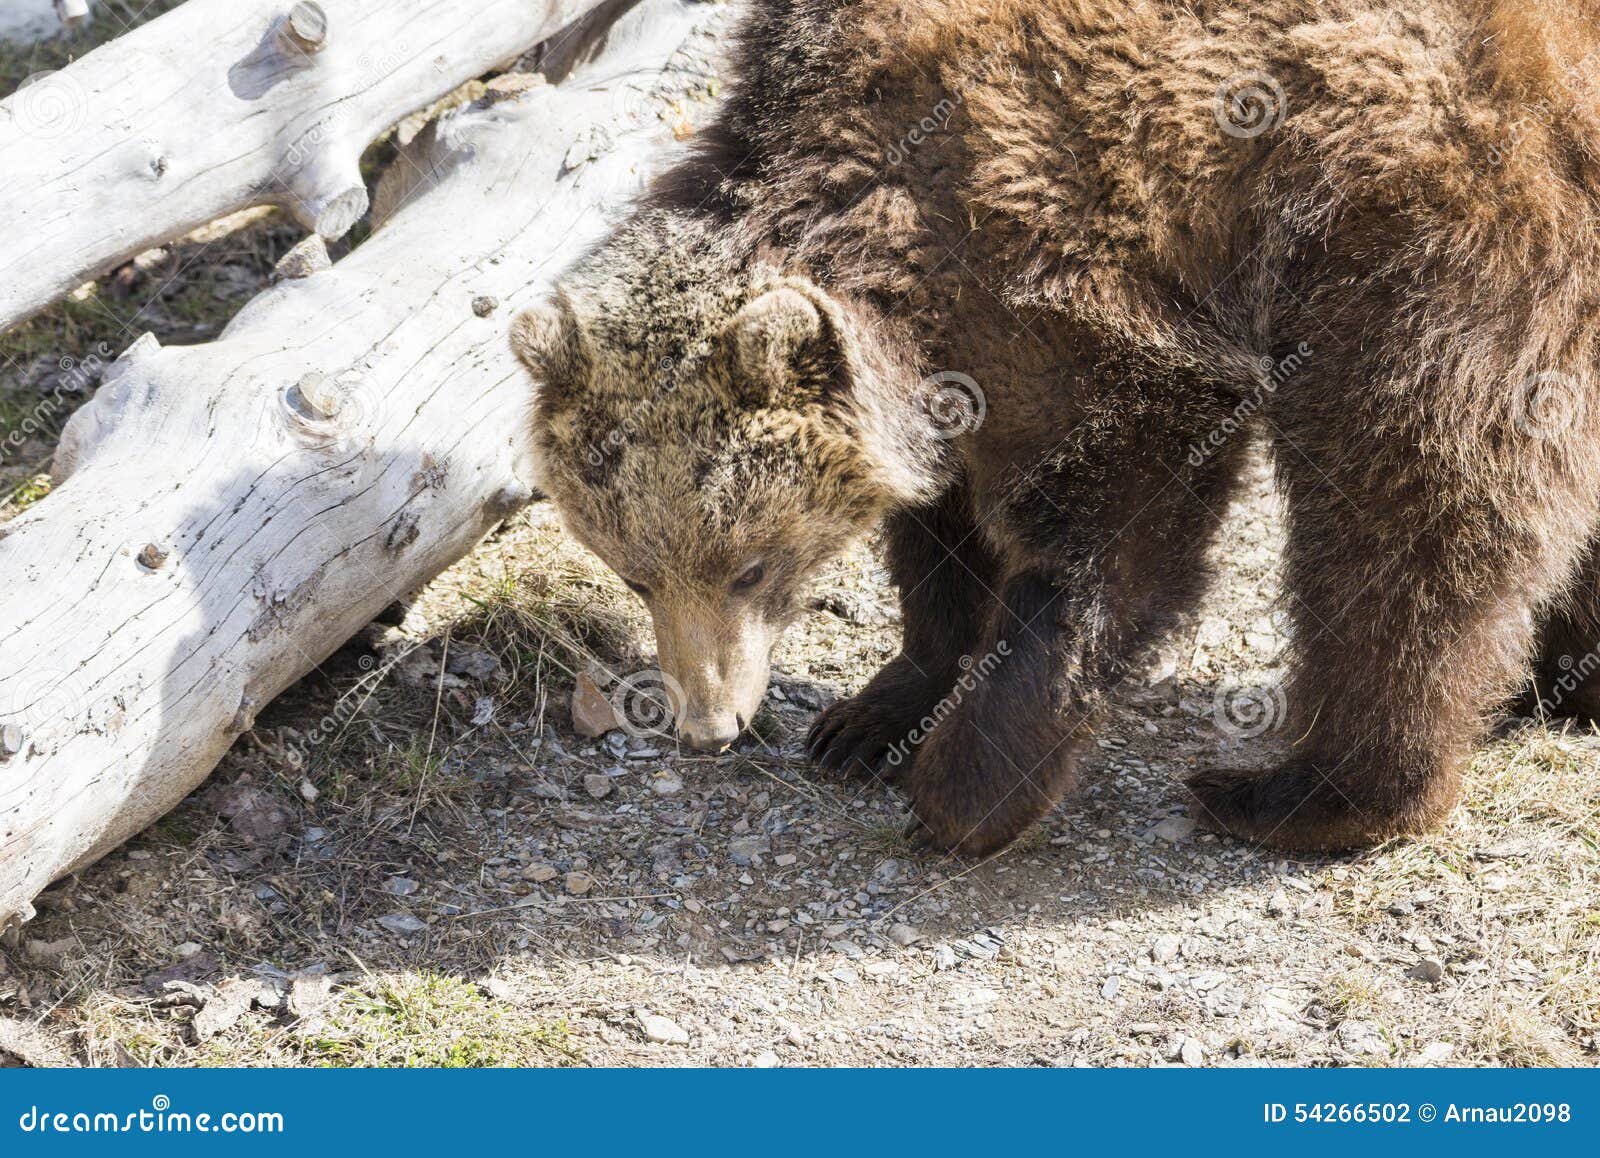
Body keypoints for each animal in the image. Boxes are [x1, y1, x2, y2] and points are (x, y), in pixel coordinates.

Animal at [514, 0, 1600, 855]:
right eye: (633, 572)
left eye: (748, 565)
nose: (709, 725)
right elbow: (942, 531)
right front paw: (873, 715)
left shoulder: (1084, 254)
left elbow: (1113, 536)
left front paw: (961, 788)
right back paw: (1563, 681)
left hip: (1438, 230)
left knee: (1409, 505)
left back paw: (1302, 793)